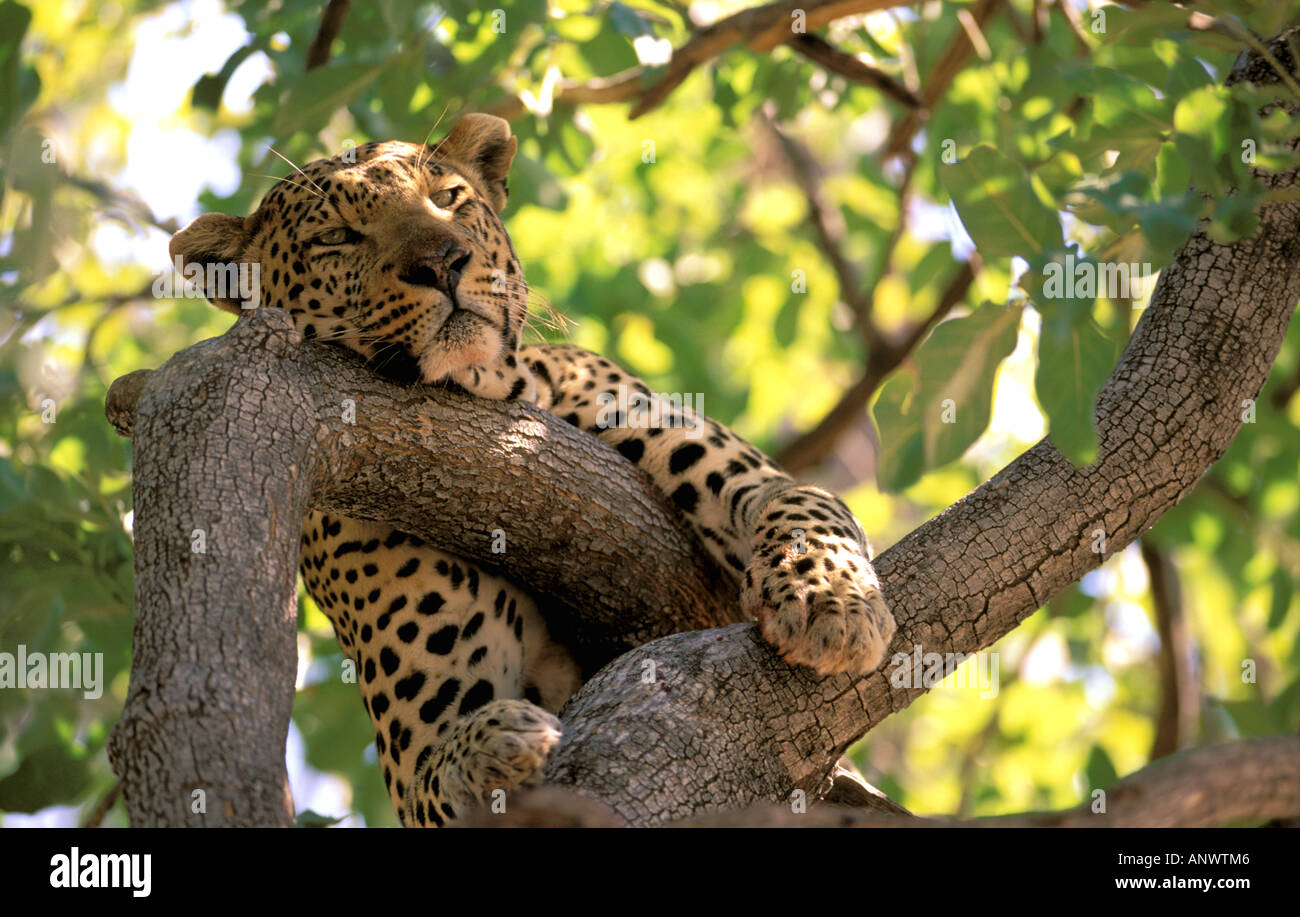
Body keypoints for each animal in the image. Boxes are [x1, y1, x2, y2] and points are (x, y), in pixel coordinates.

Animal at [169, 113, 896, 827]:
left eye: (448, 198)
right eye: (335, 236)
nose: (442, 261)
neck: (492, 394)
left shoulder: (714, 454)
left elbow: (800, 500)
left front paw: (831, 602)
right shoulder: (410, 755)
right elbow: (441, 762)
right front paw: (492, 746)